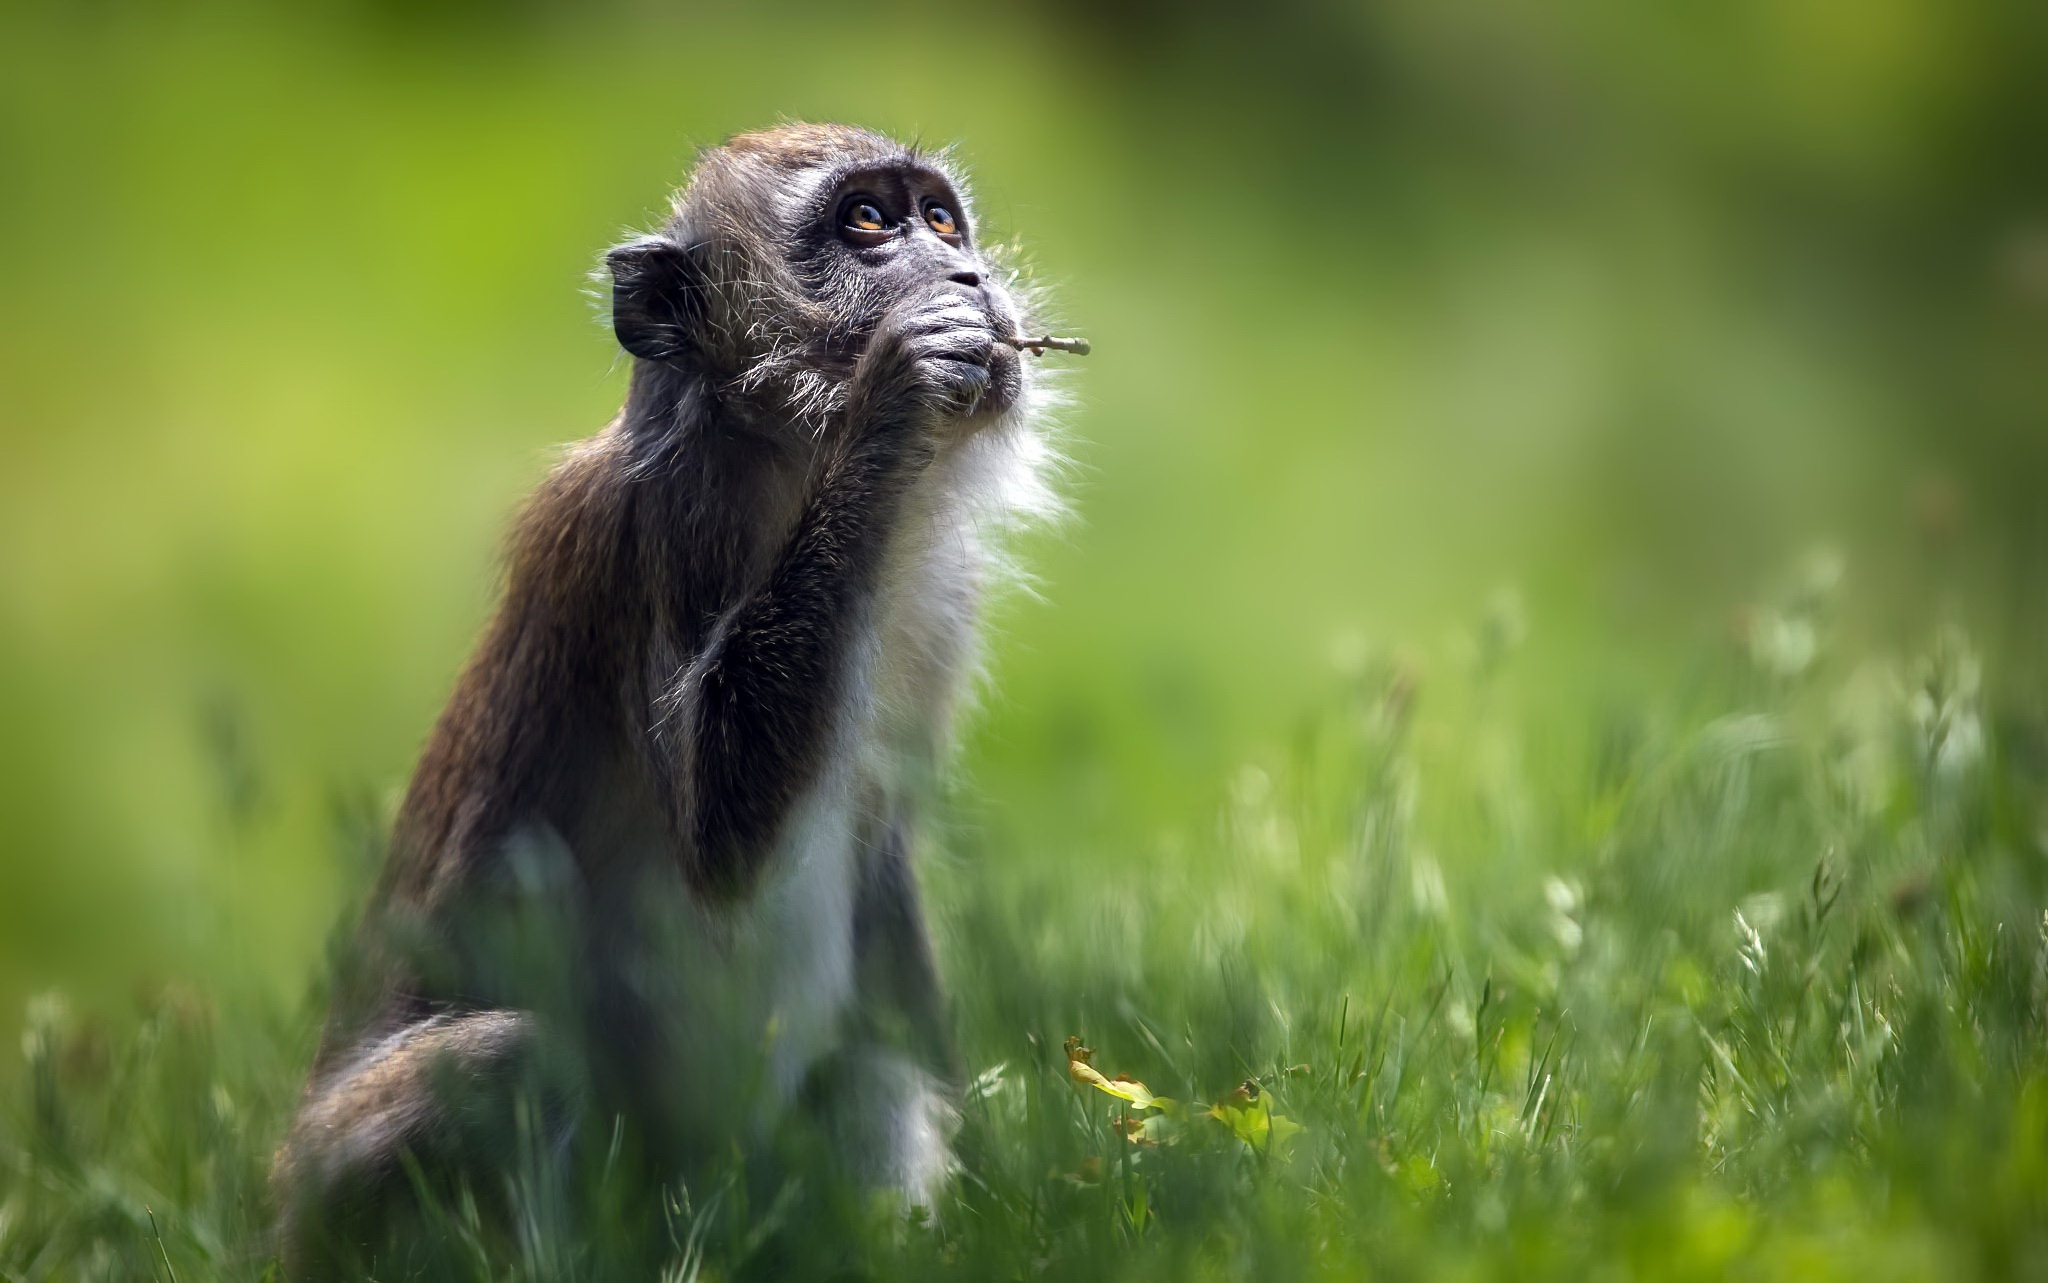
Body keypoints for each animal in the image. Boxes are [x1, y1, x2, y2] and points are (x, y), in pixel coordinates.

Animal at [269, 123, 1063, 1275]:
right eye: (868, 222)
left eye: (940, 219)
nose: (967, 276)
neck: (789, 455)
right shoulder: (672, 525)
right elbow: (721, 832)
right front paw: (897, 389)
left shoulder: (939, 595)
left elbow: (878, 849)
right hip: (336, 1195)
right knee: (503, 1062)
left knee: (864, 1066)